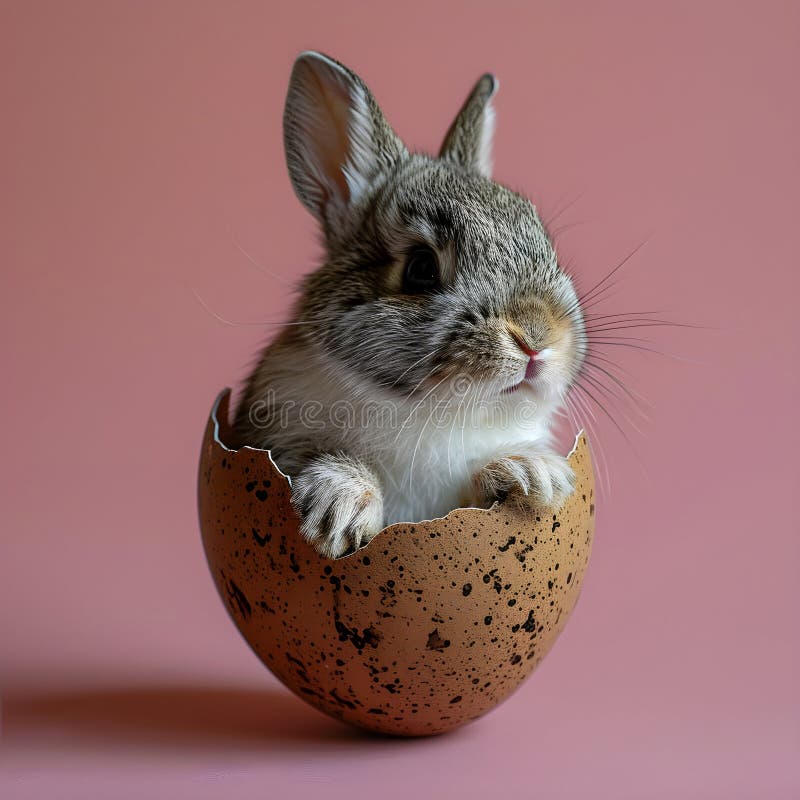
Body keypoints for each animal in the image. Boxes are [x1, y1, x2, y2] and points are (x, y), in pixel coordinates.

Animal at [233, 51, 587, 558]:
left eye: (543, 238)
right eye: (420, 268)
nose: (537, 337)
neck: (433, 413)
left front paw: (533, 475)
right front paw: (340, 508)